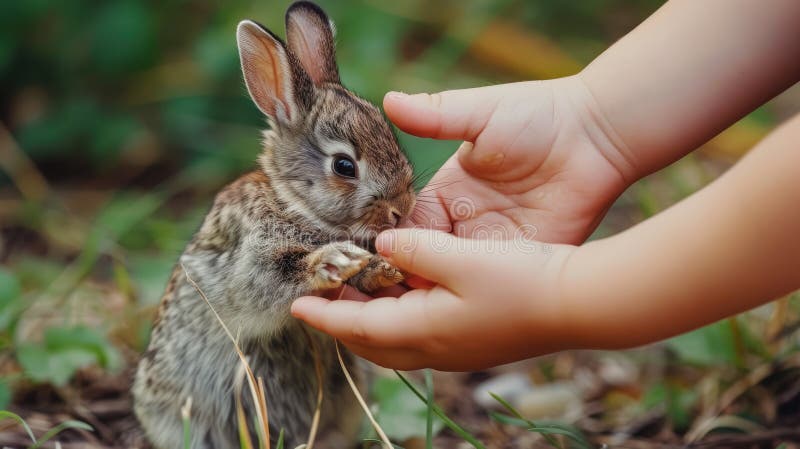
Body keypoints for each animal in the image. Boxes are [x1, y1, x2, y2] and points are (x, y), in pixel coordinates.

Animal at [132, 2, 416, 448]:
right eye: (344, 166)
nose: (402, 209)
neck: (294, 204)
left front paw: (382, 270)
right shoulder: (252, 254)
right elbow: (273, 276)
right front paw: (331, 263)